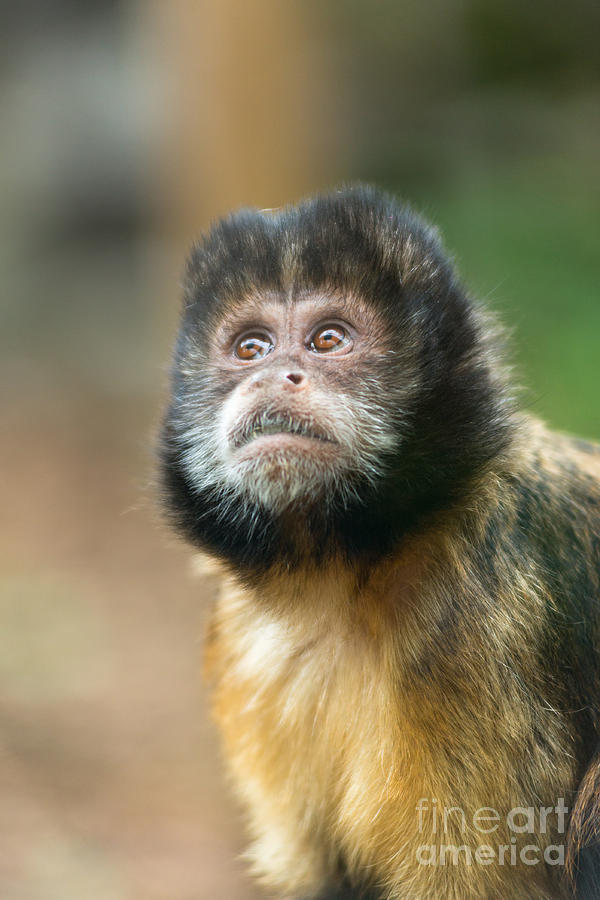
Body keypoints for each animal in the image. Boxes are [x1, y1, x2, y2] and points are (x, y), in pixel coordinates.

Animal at [159, 185, 600, 899]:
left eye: (327, 339)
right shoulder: (243, 642)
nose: (274, 375)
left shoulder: (482, 613)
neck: (349, 569)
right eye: (252, 348)